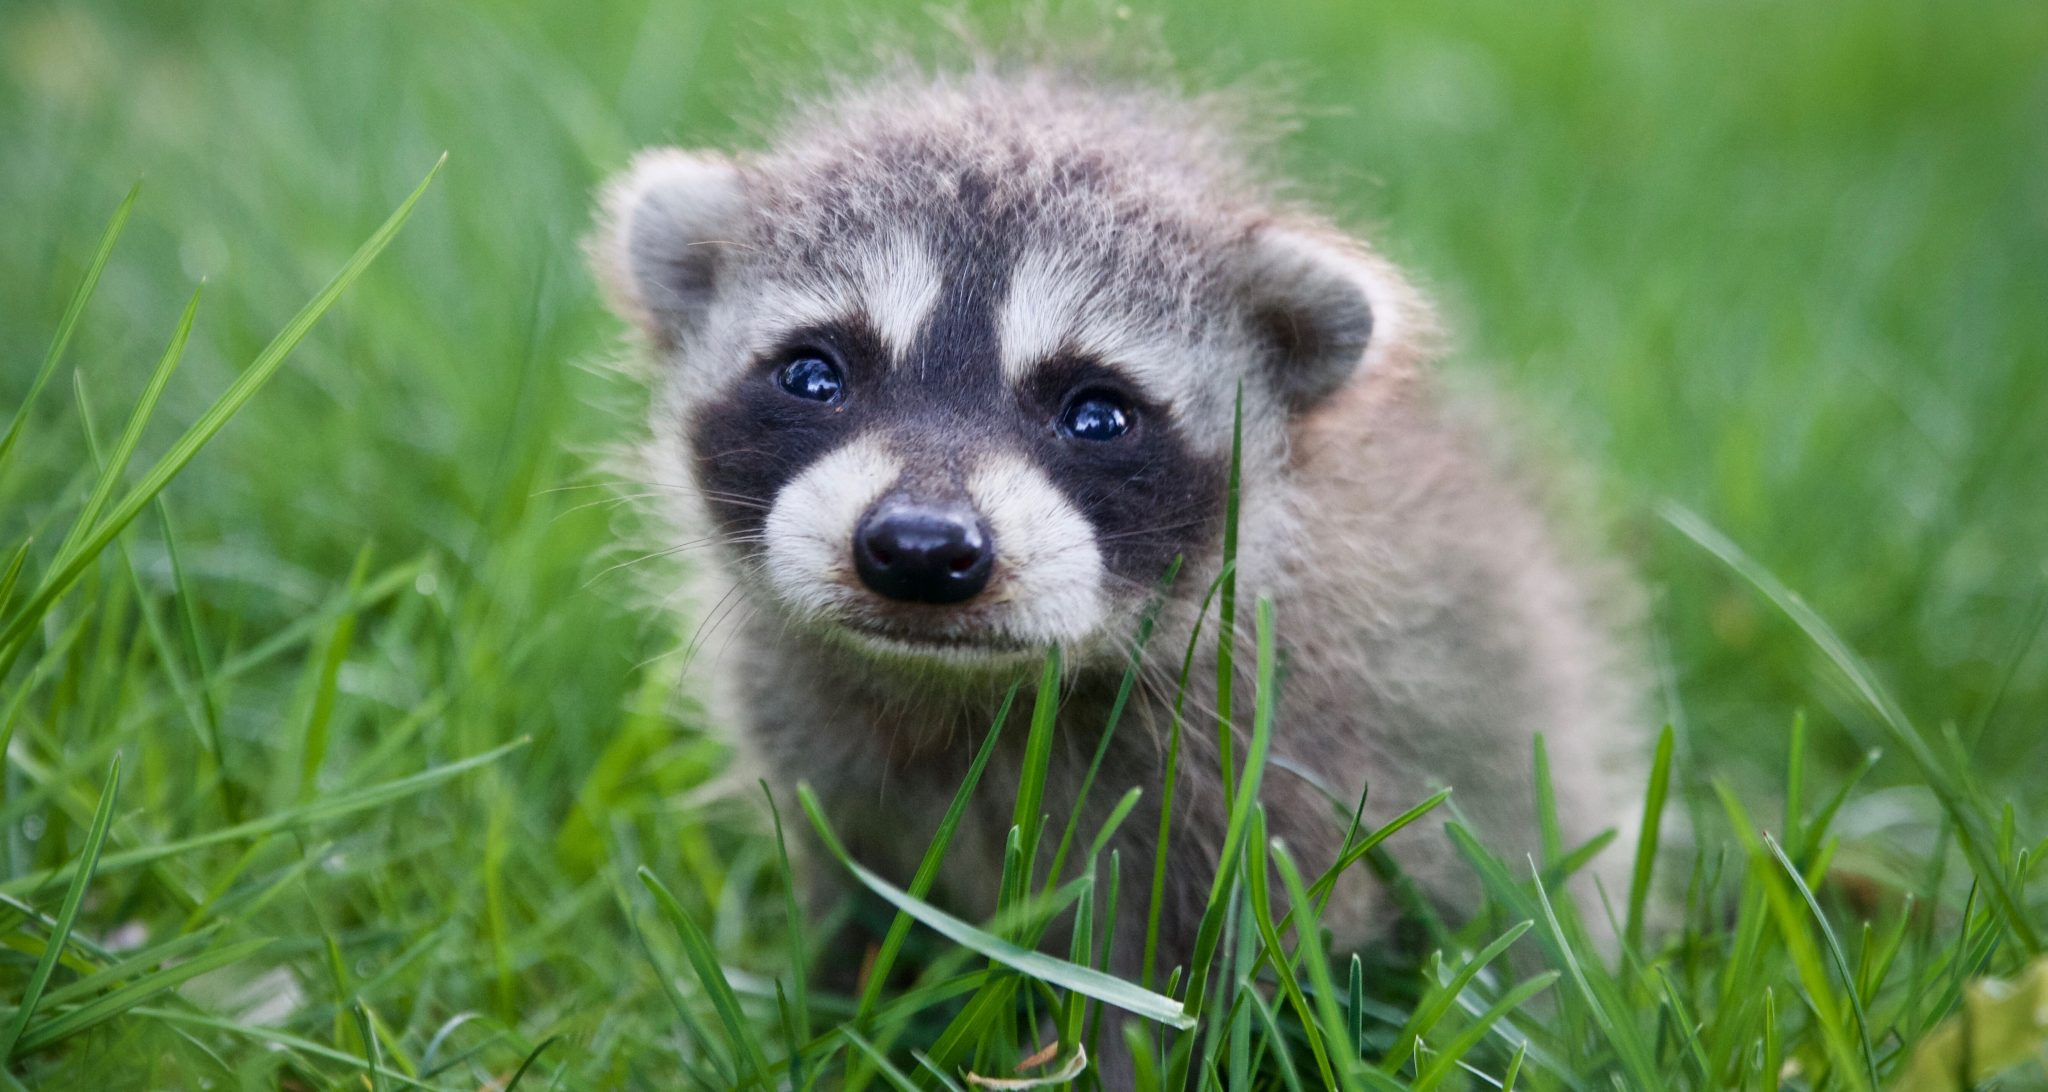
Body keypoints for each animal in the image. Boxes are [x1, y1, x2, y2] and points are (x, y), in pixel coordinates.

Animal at [592, 66, 1644, 1021]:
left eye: (1097, 415)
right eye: (814, 376)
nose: (921, 547)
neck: (958, 688)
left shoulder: (1276, 761)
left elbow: (1179, 981)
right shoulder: (819, 745)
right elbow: (854, 900)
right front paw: (836, 1011)